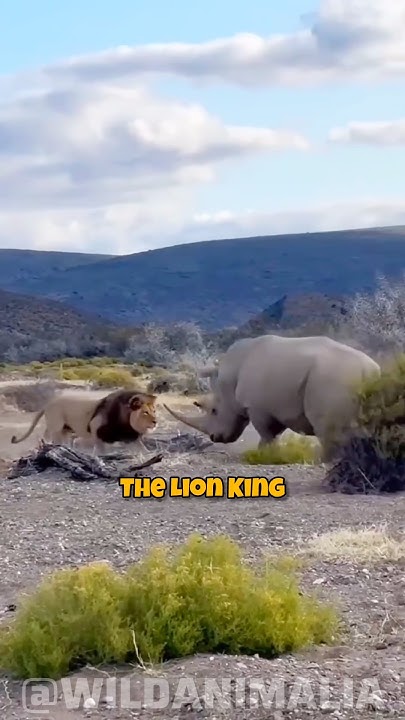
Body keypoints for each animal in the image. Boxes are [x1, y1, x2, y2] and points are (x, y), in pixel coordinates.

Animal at [164, 334, 381, 461]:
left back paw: (326, 462)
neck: (229, 373)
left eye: (214, 411)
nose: (215, 438)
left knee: (327, 430)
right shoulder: (276, 405)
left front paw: (263, 454)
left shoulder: (257, 407)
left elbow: (266, 433)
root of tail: (368, 370)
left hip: (332, 379)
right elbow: (274, 432)